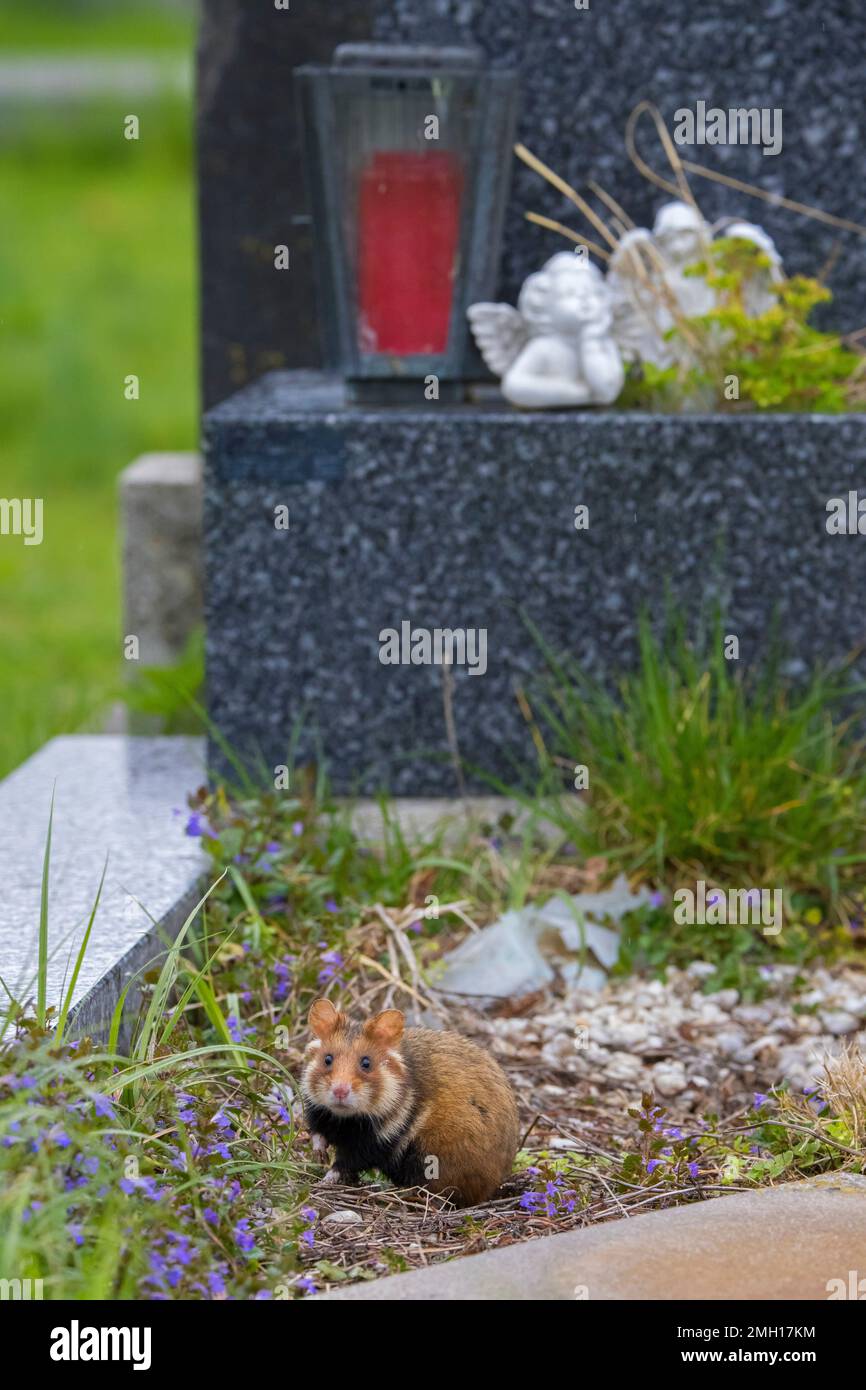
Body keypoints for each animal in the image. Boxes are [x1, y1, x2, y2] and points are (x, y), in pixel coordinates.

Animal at [301, 998, 520, 1208]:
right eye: (327, 1059)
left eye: (366, 1063)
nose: (340, 1091)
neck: (345, 1118)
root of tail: (495, 1185)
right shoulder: (318, 1116)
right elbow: (318, 1135)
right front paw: (319, 1156)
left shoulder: (376, 1142)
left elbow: (344, 1164)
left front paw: (325, 1180)